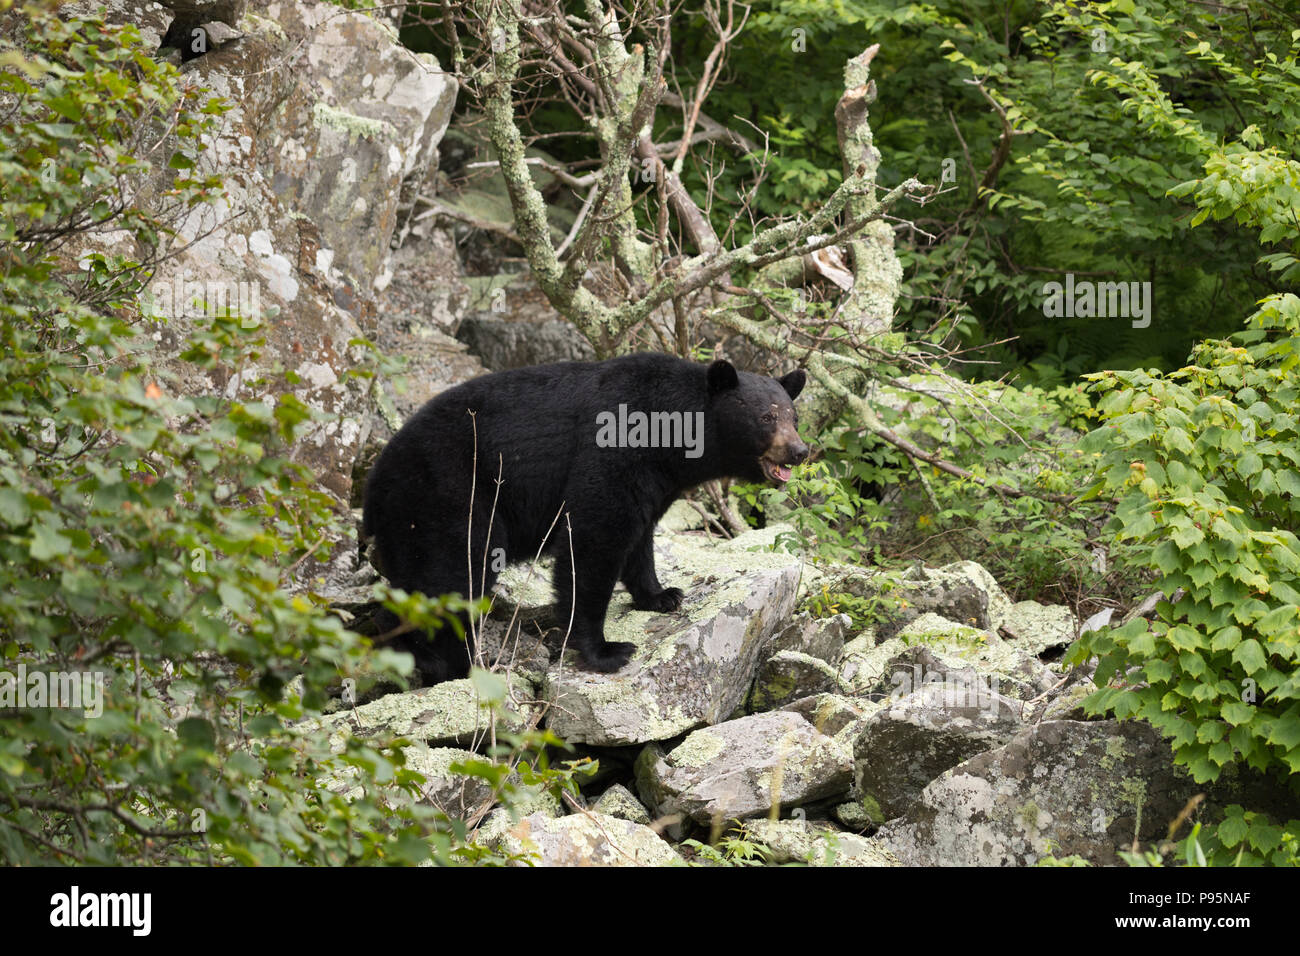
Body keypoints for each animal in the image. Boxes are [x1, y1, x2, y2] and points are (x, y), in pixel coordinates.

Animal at [361, 352, 809, 684]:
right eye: (766, 417)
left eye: (793, 416)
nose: (799, 450)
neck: (671, 429)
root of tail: (375, 482)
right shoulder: (614, 448)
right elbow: (595, 538)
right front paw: (606, 650)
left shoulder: (656, 477)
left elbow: (640, 535)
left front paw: (662, 594)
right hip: (448, 494)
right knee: (456, 574)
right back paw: (456, 663)